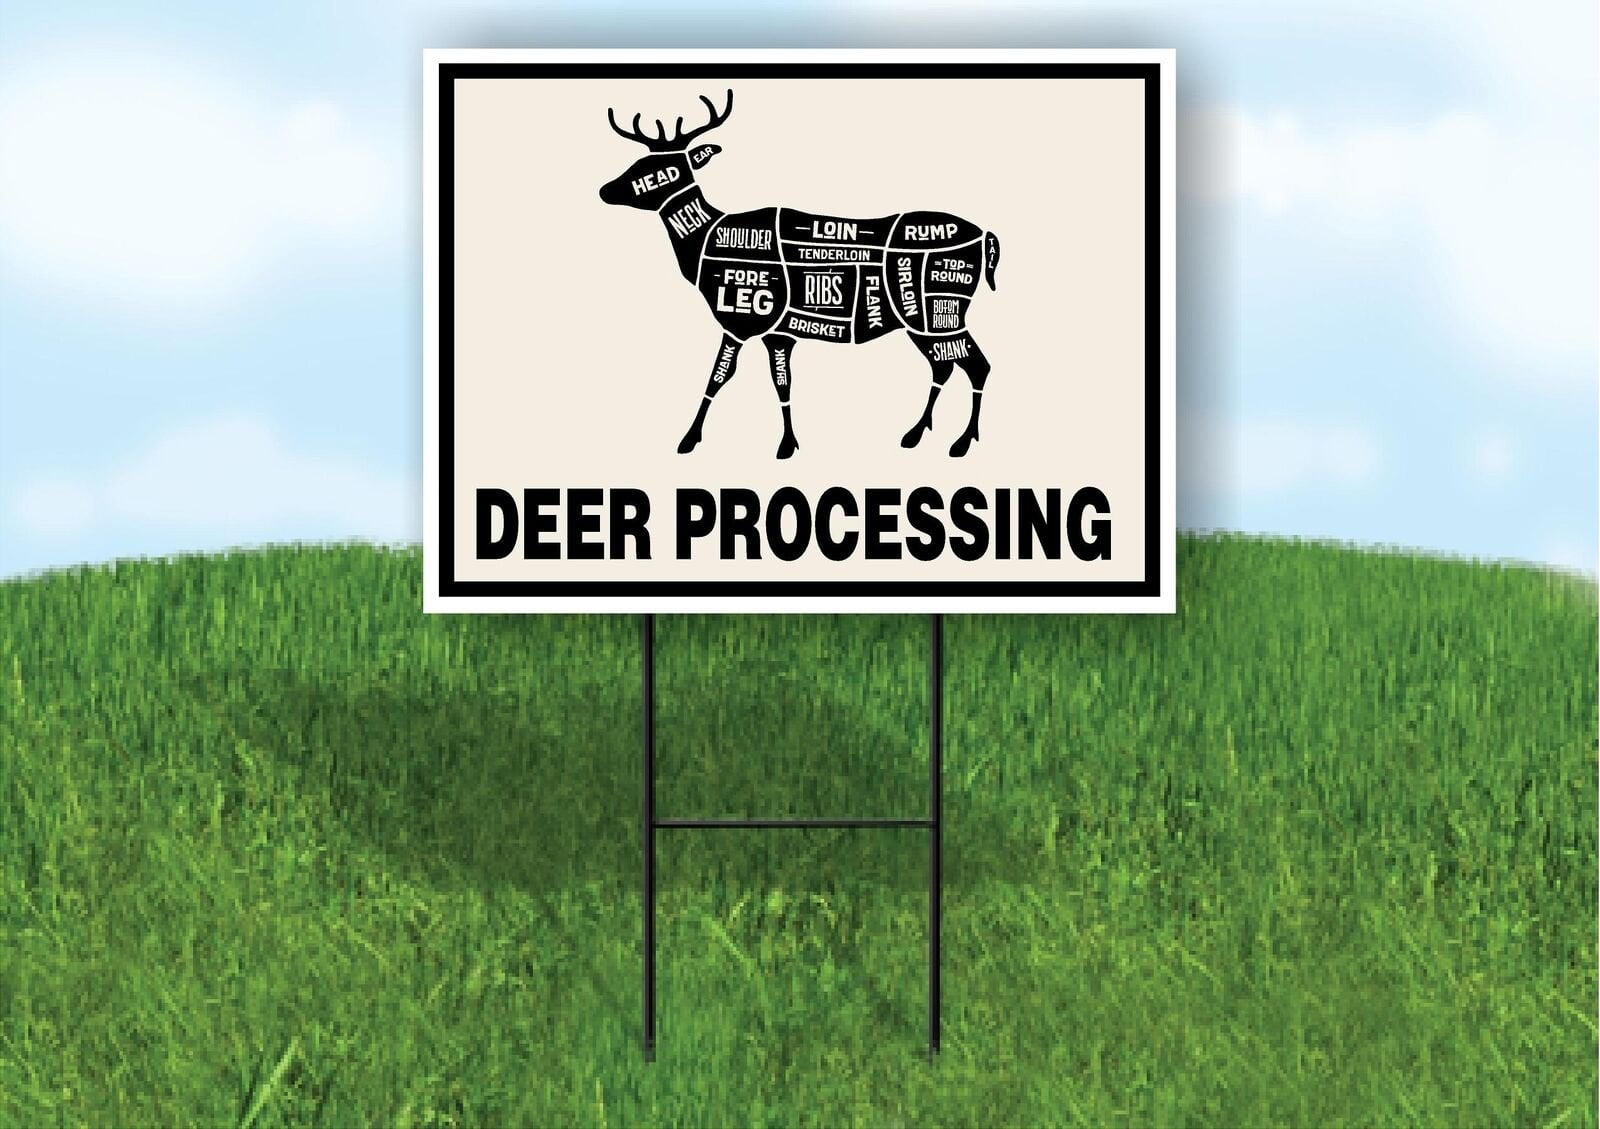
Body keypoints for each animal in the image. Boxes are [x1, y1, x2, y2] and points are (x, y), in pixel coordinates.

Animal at [599, 90, 999, 459]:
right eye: (638, 162)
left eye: (664, 171)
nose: (605, 190)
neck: (704, 249)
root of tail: (987, 239)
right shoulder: (779, 331)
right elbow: (782, 382)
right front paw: (788, 444)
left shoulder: (741, 318)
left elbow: (719, 375)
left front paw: (689, 439)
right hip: (925, 320)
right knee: (944, 366)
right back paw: (916, 434)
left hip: (940, 309)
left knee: (977, 364)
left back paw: (962, 442)